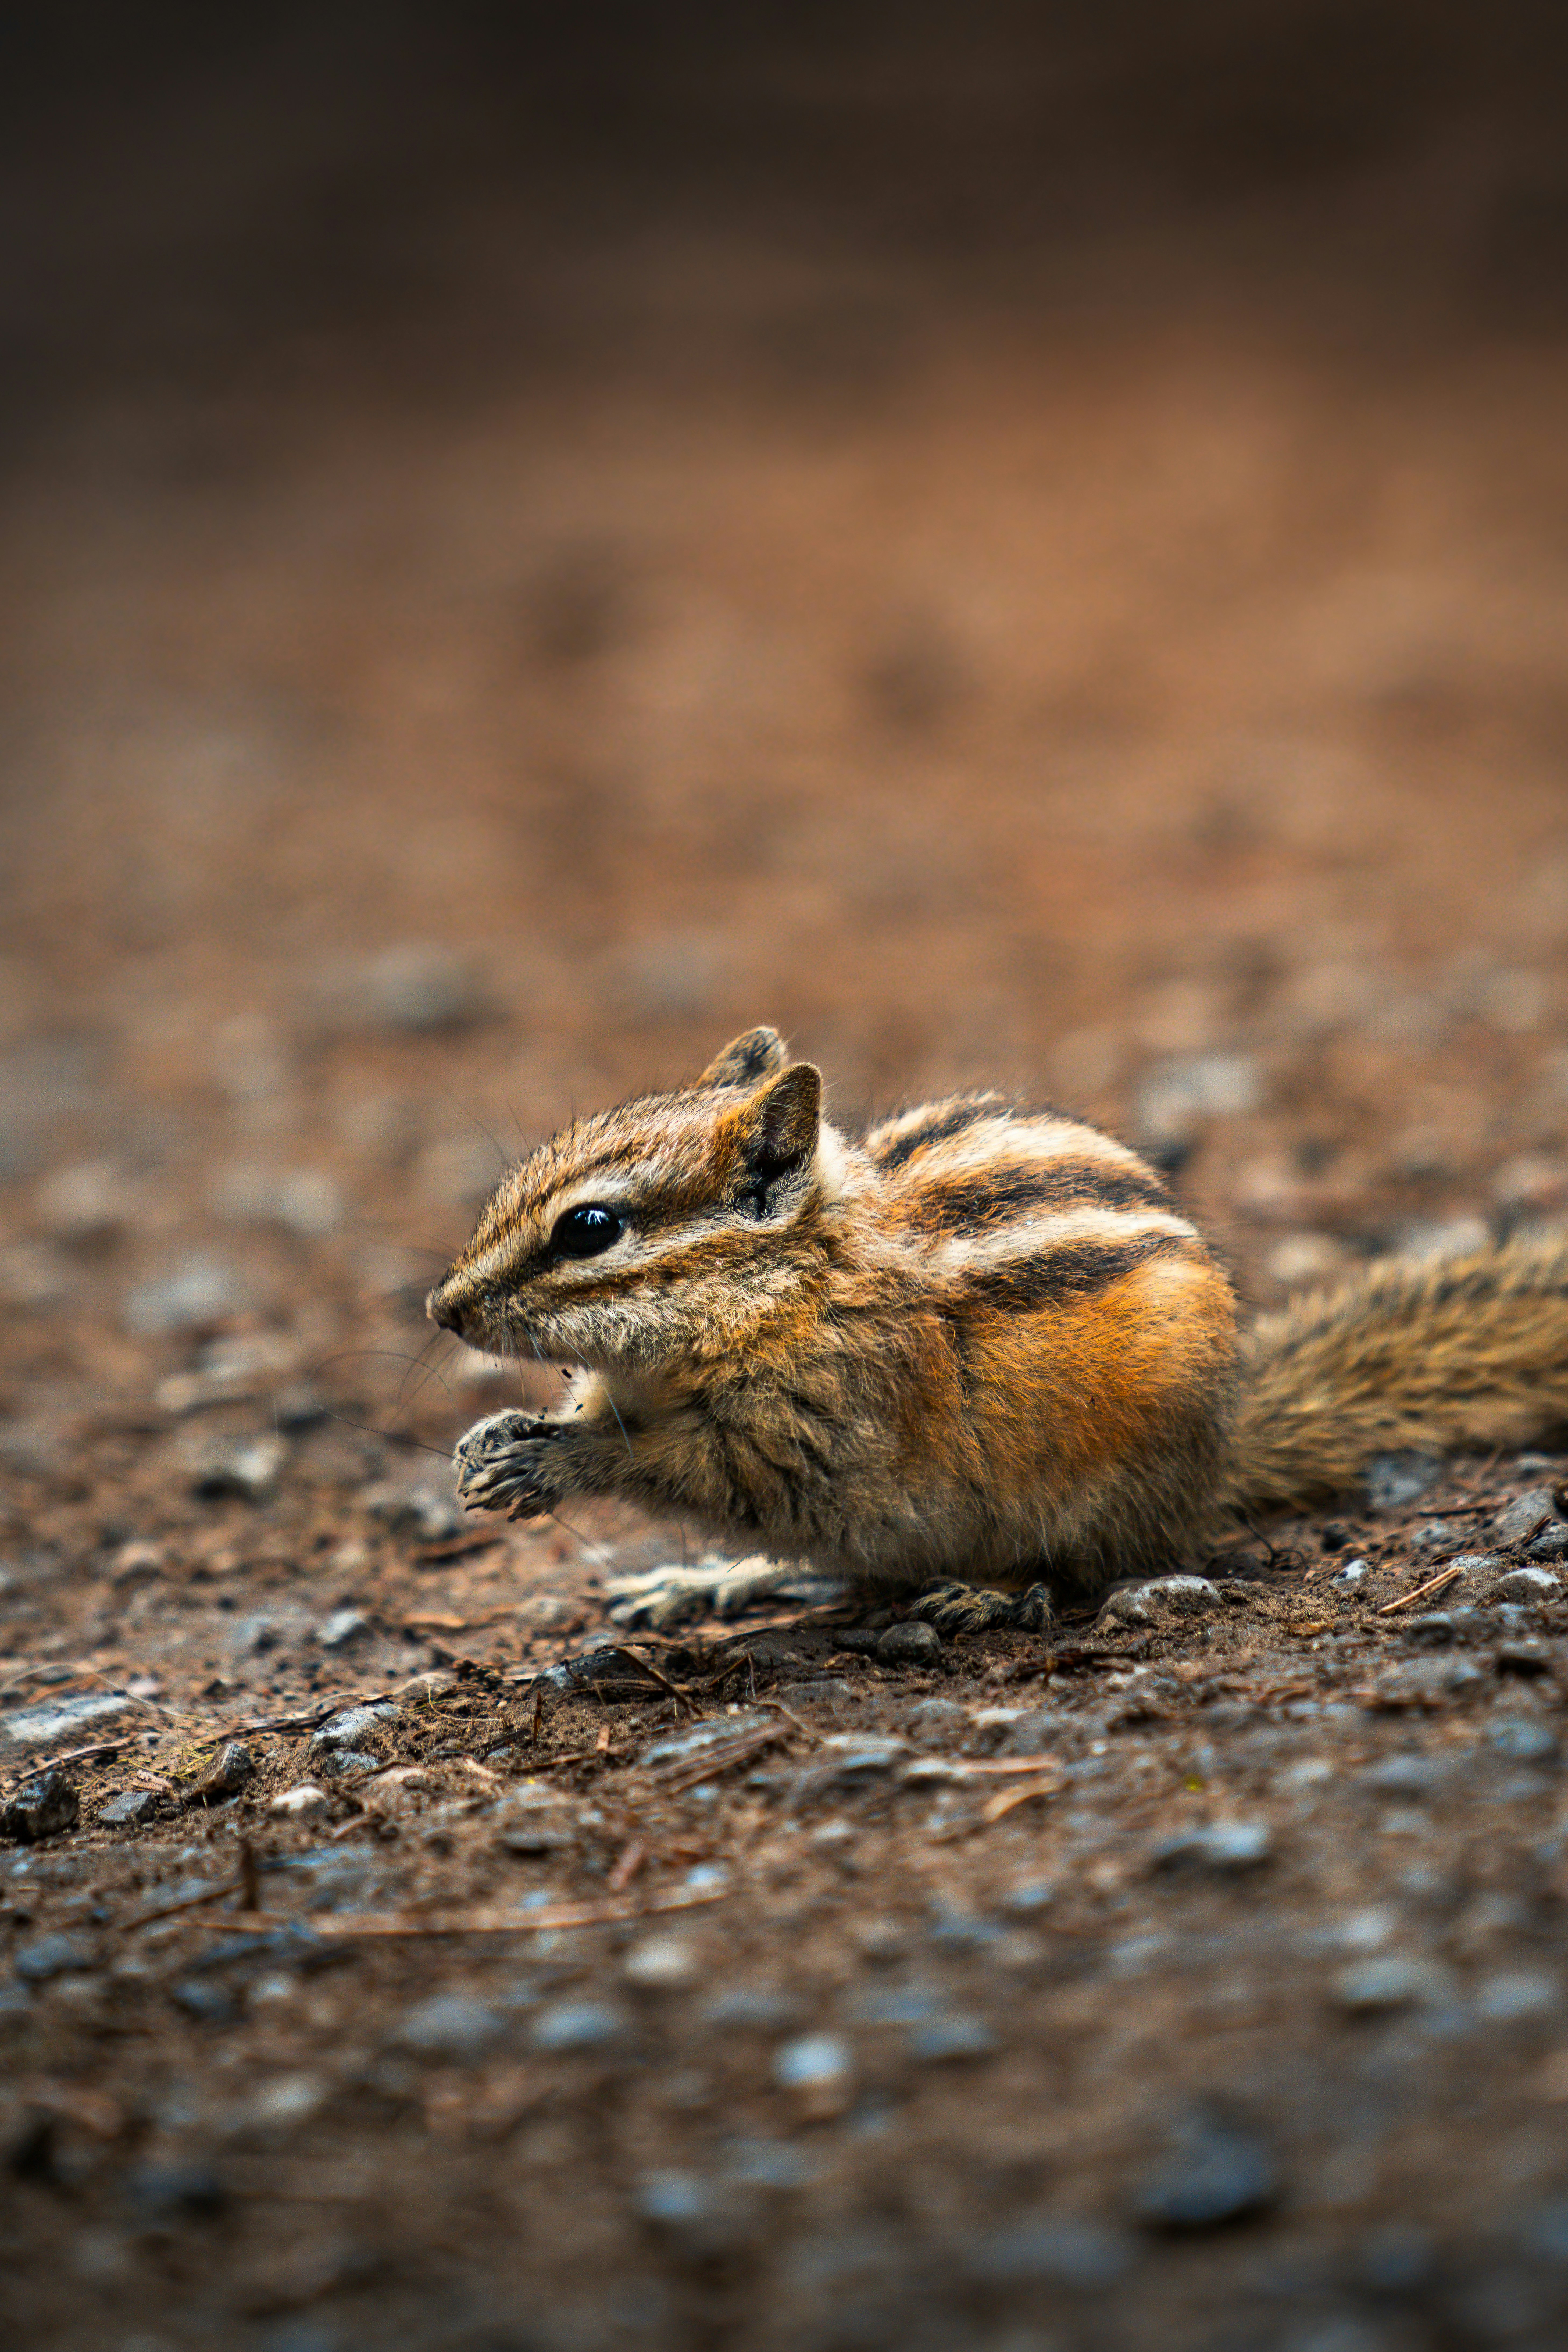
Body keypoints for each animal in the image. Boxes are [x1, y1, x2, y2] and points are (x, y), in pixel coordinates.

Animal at [426, 1026, 1568, 1631]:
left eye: (590, 1227)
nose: (443, 1308)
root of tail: (1220, 1457)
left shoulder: (806, 1430)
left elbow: (681, 1464)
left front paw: (556, 1464)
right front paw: (496, 1440)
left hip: (1093, 1499)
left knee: (1088, 1569)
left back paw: (987, 1595)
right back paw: (710, 1579)